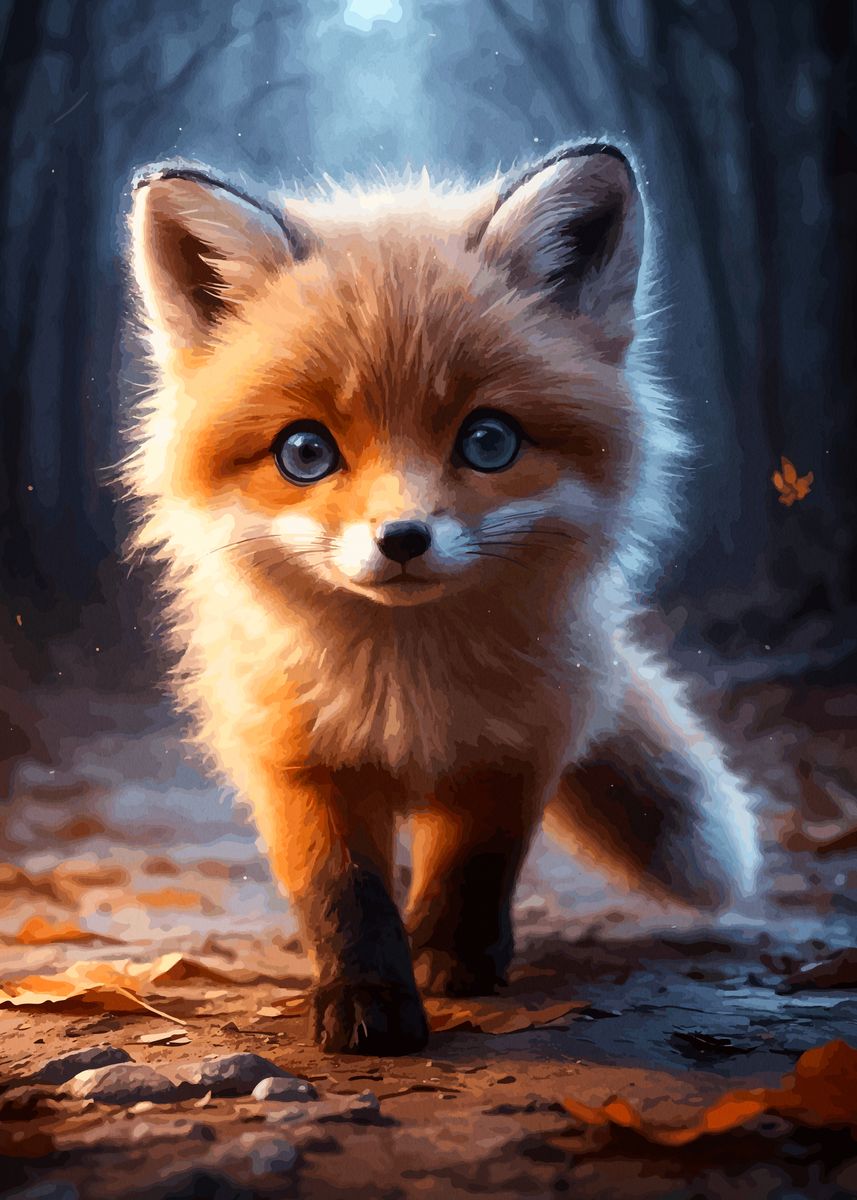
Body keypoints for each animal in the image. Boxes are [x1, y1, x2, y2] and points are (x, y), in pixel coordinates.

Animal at [124, 142, 761, 1055]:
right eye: (305, 452)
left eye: (487, 441)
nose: (402, 539)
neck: (406, 692)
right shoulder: (297, 756)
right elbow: (343, 893)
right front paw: (365, 995)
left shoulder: (516, 744)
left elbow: (474, 866)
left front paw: (451, 961)